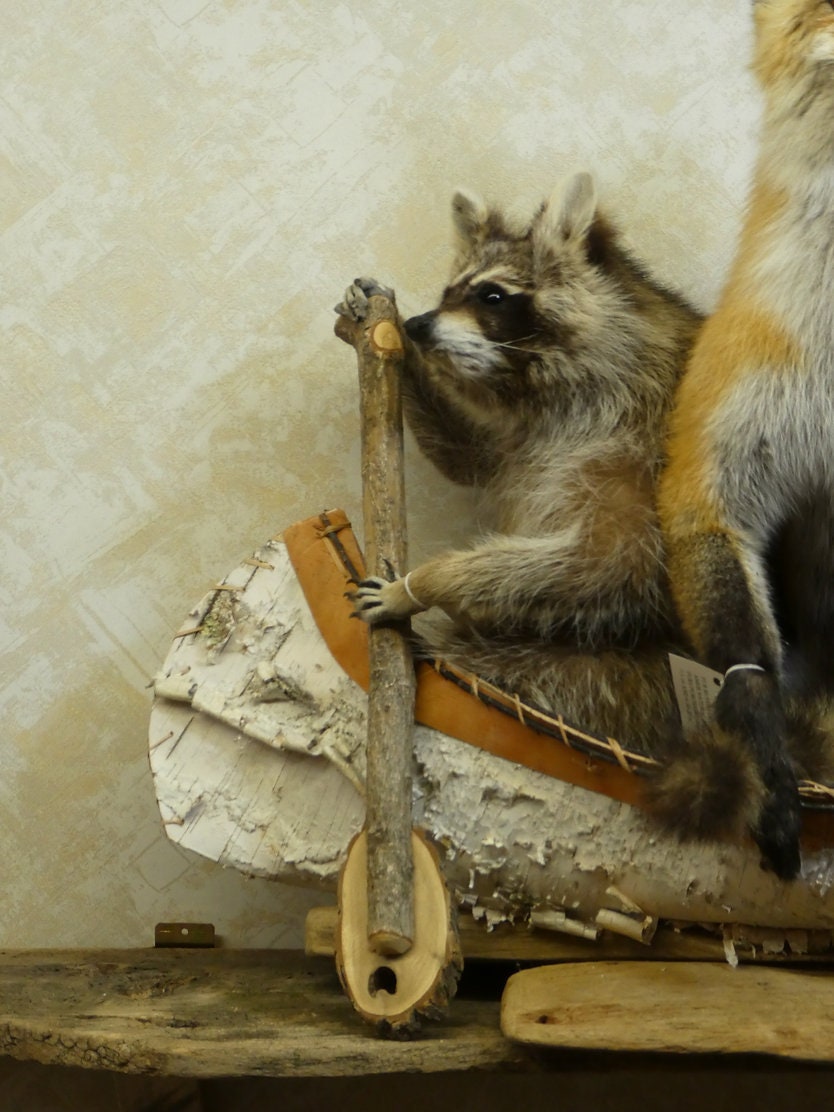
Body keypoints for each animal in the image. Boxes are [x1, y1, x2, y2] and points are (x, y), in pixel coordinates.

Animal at [339, 172, 704, 763]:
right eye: (446, 294)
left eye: (492, 295)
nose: (418, 326)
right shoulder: (518, 437)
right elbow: (467, 457)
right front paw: (396, 343)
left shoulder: (642, 448)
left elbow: (608, 564)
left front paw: (426, 583)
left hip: (621, 680)